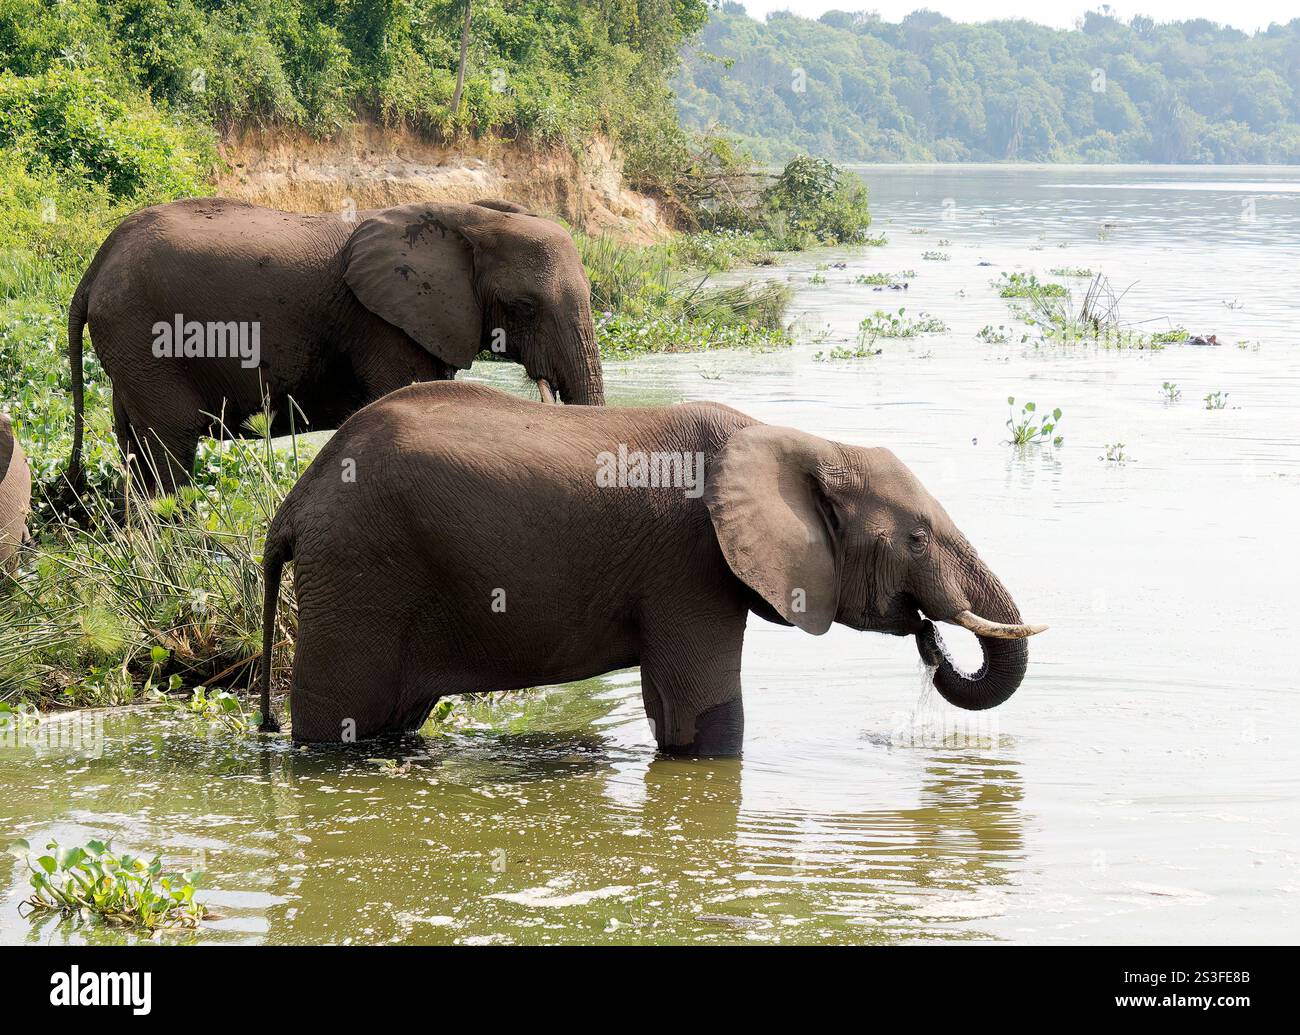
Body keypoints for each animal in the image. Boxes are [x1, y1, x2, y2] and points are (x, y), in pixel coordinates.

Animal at [61, 196, 603, 495]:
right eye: (525, 306)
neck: (468, 216)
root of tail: (97, 263)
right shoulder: (382, 325)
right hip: (144, 336)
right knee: (170, 445)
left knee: (134, 444)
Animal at [258, 381, 1045, 755]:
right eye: (917, 538)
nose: (928, 632)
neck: (802, 441)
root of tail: (294, 504)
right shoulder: (689, 562)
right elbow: (710, 712)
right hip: (359, 573)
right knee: (340, 722)